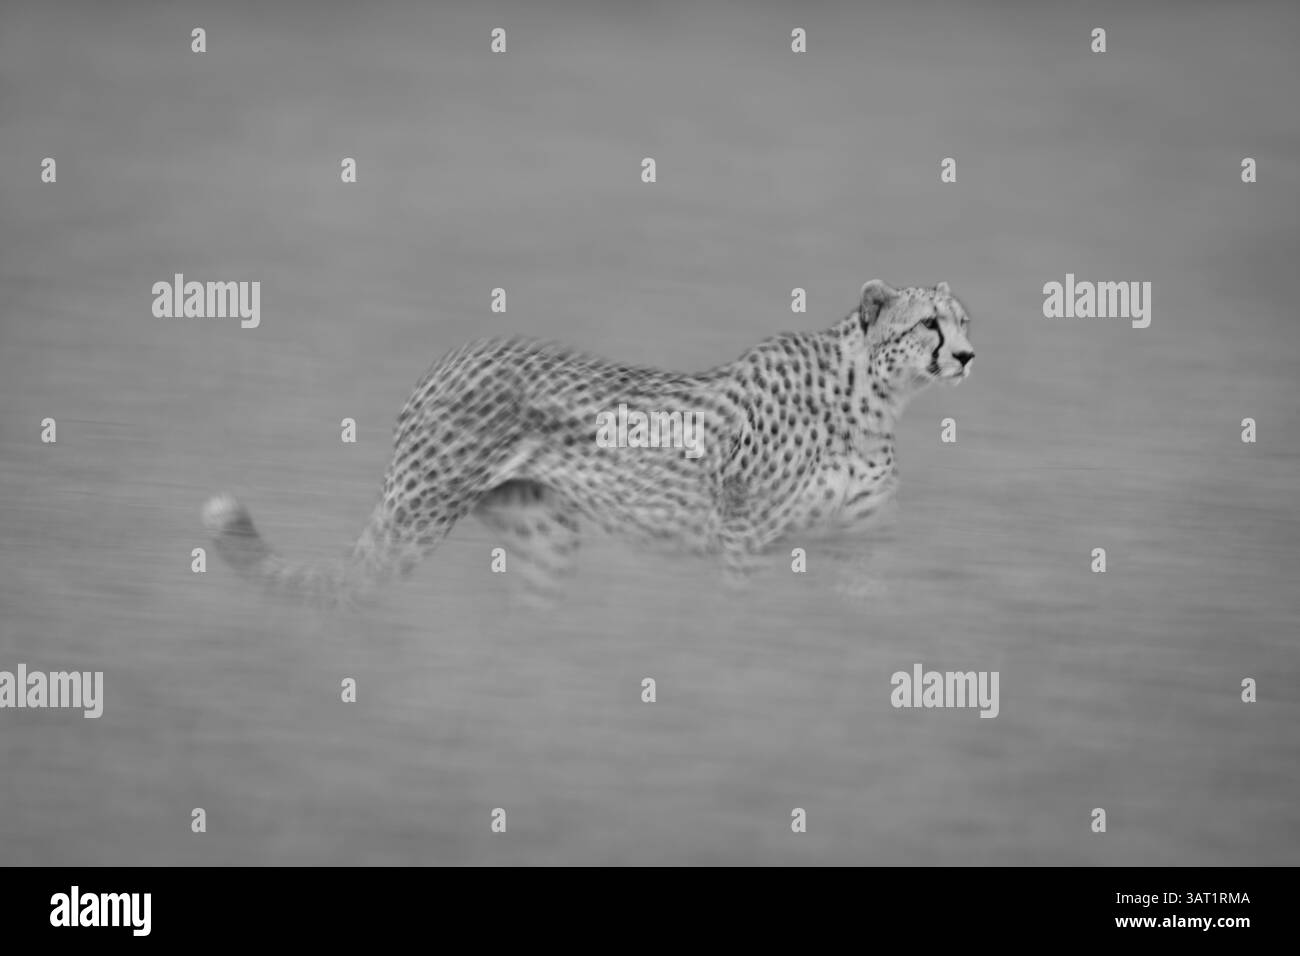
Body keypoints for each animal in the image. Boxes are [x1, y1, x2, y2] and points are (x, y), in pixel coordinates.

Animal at [202, 279, 974, 608]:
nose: (968, 355)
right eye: (929, 323)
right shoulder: (746, 539)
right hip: (419, 515)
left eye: (964, 319)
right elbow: (741, 622)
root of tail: (449, 355)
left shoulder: (861, 545)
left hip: (543, 536)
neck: (872, 399)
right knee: (359, 595)